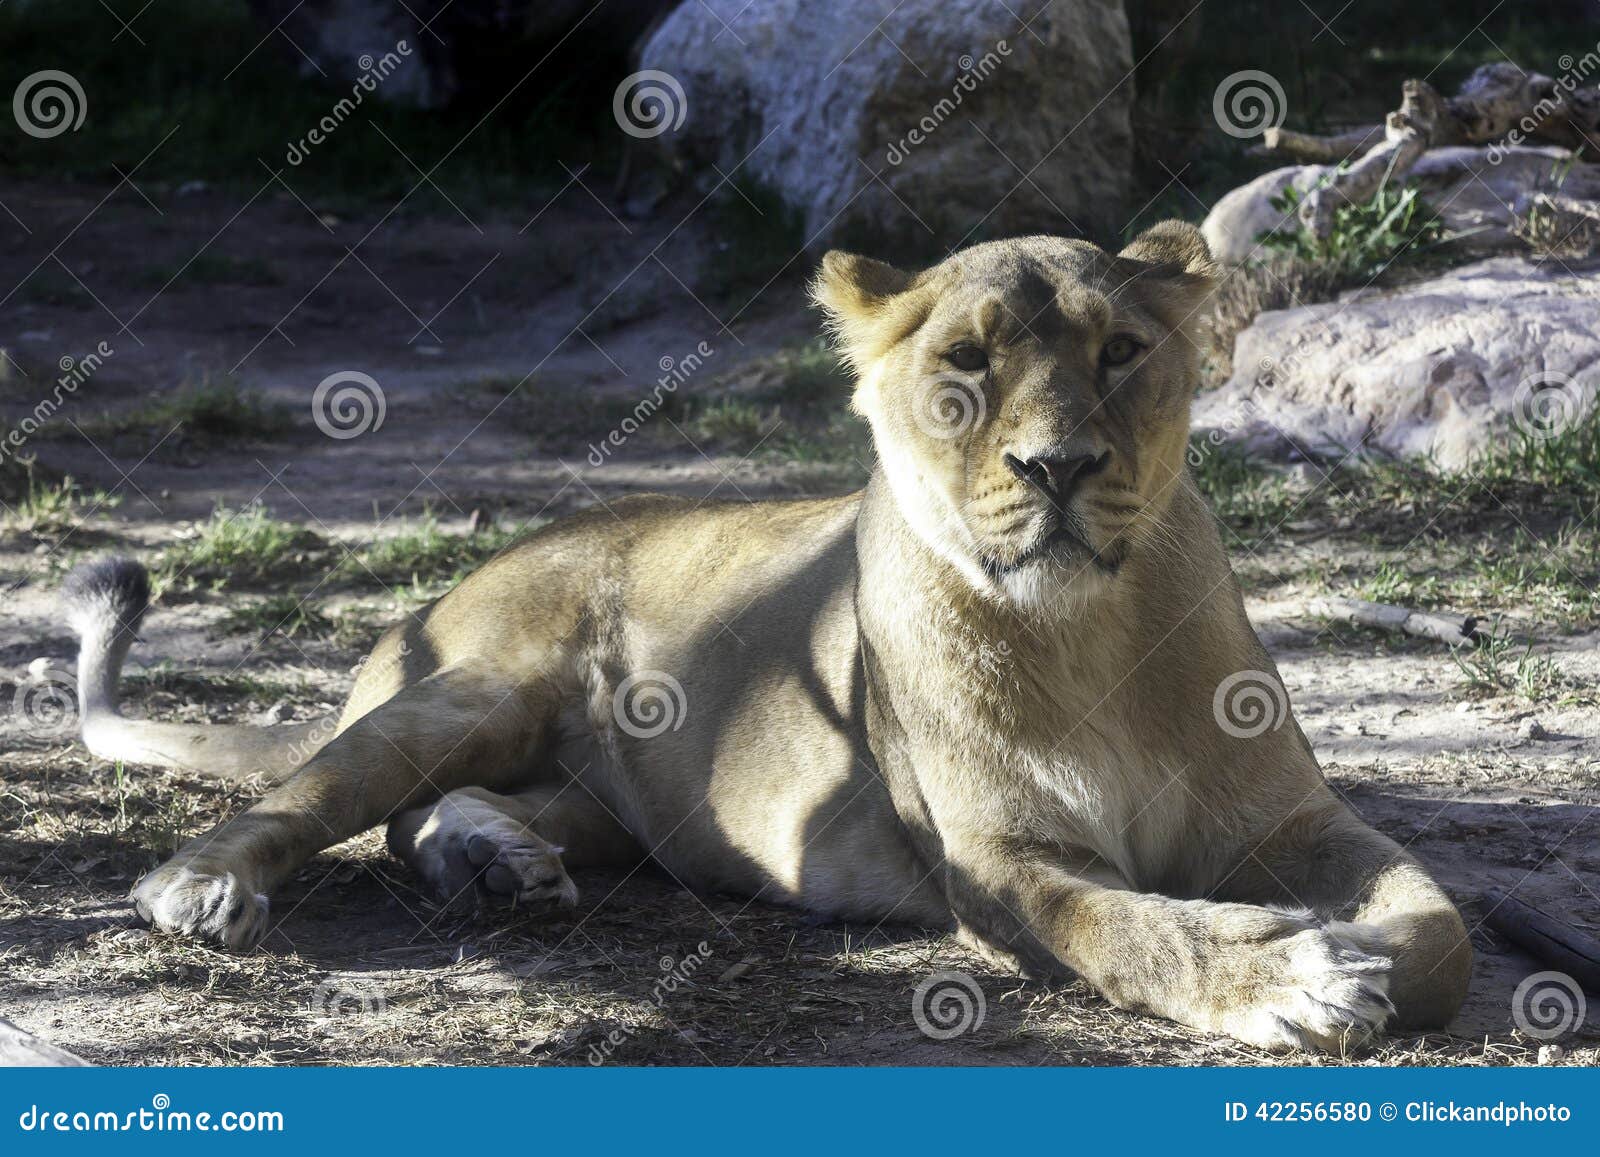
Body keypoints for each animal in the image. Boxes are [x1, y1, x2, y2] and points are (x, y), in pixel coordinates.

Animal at [62, 221, 1470, 1053]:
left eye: (1122, 350)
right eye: (965, 364)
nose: (1058, 465)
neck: (1088, 630)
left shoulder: (1285, 818)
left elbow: (1441, 932)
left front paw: (1354, 956)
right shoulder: (999, 863)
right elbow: (1129, 928)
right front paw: (1291, 976)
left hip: (612, 806)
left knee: (439, 814)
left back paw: (496, 863)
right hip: (465, 692)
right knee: (310, 796)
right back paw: (202, 887)